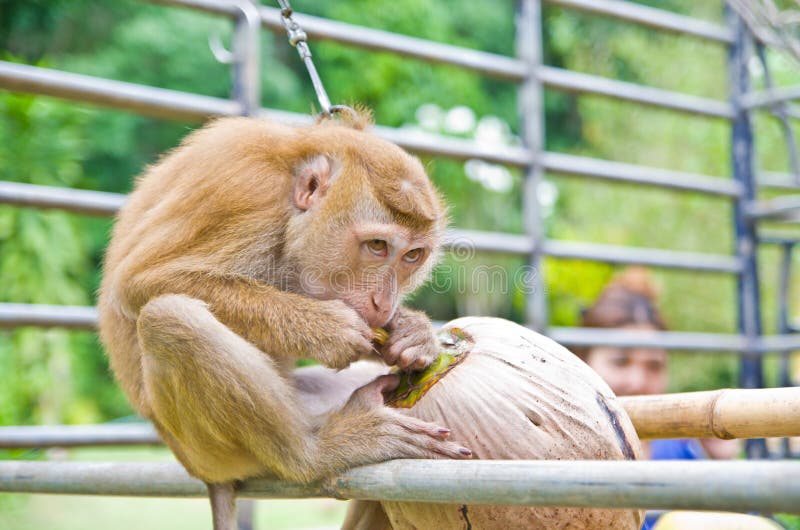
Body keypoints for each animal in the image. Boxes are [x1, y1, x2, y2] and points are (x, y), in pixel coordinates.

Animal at [97, 113, 471, 528]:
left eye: (413, 256)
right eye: (377, 246)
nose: (383, 303)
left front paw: (412, 333)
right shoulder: (246, 196)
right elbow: (139, 282)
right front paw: (328, 330)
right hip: (211, 452)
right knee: (168, 318)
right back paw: (315, 453)